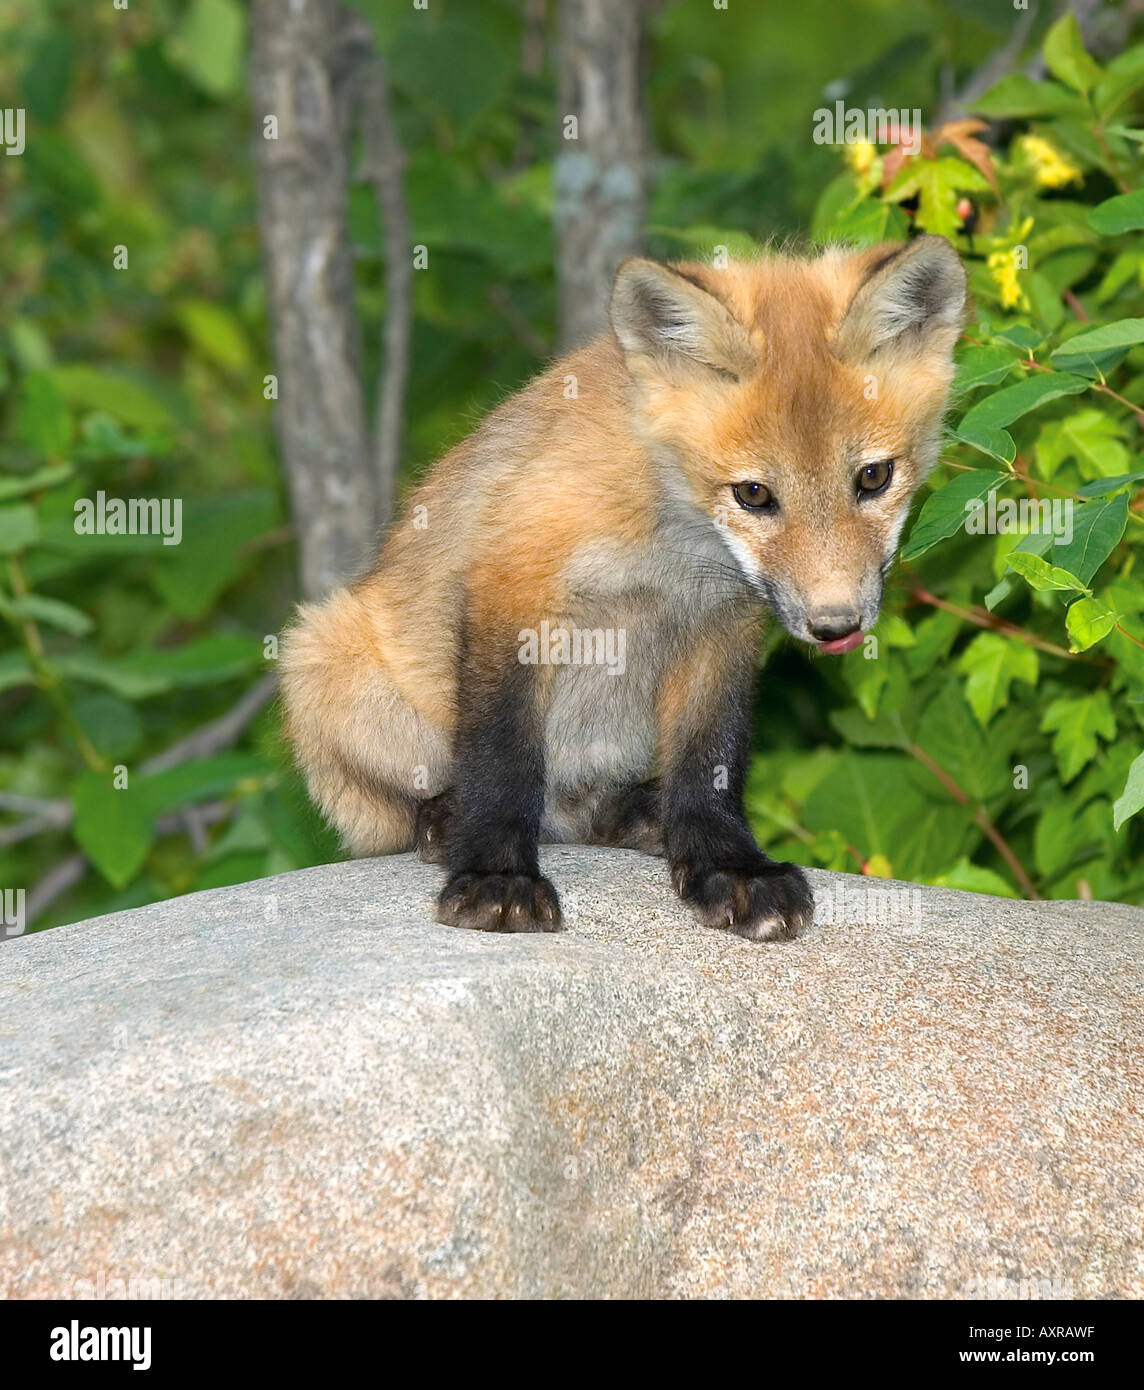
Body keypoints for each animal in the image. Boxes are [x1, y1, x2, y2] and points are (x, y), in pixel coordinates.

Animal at [281, 234, 967, 941]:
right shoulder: (512, 584)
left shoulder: (723, 625)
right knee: (420, 813)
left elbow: (711, 762)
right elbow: (502, 759)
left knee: (586, 814)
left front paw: (727, 866)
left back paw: (639, 817)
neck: (674, 549)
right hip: (321, 655)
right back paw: (444, 823)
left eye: (874, 477)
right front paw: (497, 876)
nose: (837, 625)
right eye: (753, 493)